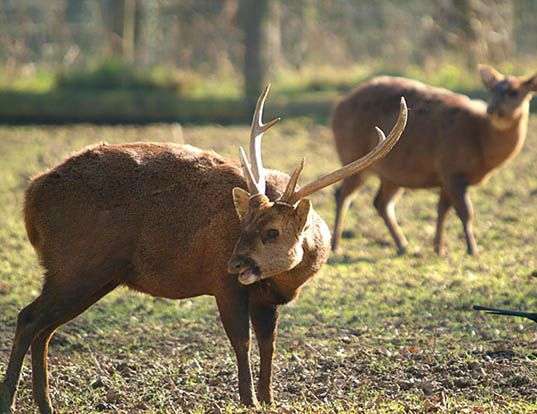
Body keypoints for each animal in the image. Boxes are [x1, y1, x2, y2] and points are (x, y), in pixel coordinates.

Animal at [0, 85, 406, 412]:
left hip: (90, 274)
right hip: (78, 265)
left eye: (271, 231)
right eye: (244, 223)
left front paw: (270, 398)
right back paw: (12, 400)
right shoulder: (222, 284)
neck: (285, 281)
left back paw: (45, 403)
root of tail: (30, 198)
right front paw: (248, 399)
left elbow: (269, 343)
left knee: (45, 328)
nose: (236, 262)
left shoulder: (266, 297)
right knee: (29, 318)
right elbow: (241, 340)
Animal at [330, 65, 536, 256]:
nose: (492, 109)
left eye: (514, 92)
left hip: (392, 174)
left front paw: (439, 248)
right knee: (342, 195)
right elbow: (466, 212)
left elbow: (442, 210)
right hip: (352, 155)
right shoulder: (452, 170)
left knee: (381, 203)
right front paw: (472, 249)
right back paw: (336, 245)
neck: (481, 141)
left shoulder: (445, 178)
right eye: (492, 89)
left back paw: (402, 244)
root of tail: (339, 105)